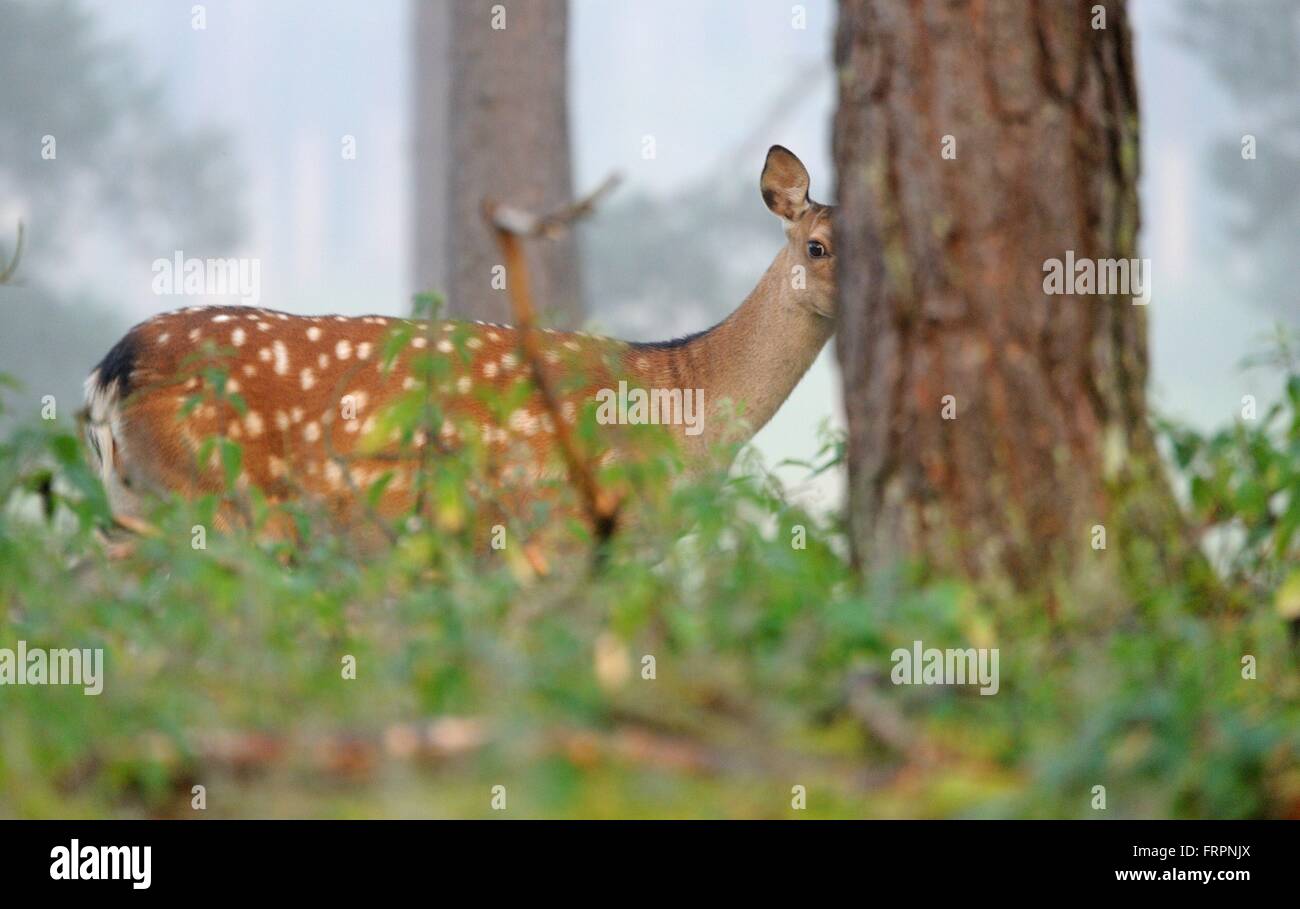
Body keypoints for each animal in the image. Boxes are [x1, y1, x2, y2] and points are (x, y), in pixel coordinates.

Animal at [82, 146, 835, 539]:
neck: (675, 400)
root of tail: (111, 372)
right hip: (222, 496)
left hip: (133, 504)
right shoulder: (556, 523)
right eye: (818, 245)